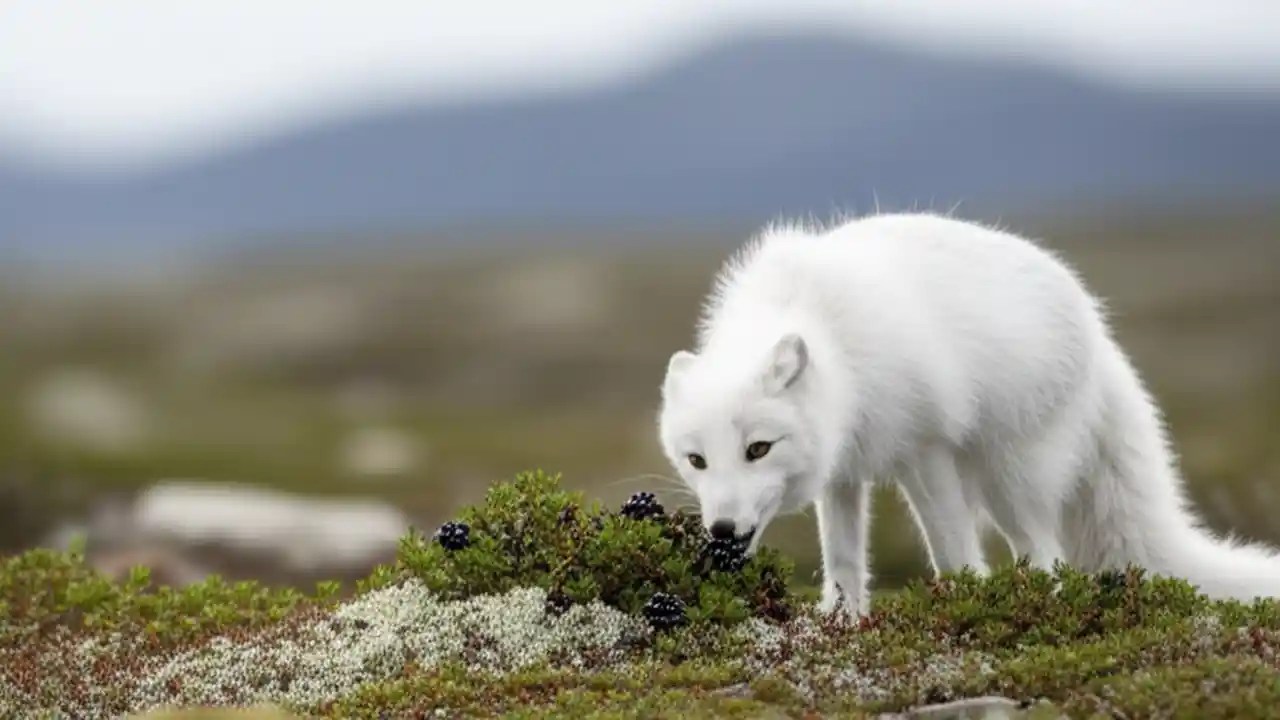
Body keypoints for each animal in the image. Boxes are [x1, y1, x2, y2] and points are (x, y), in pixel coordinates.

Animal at [658, 212, 1280, 615]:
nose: (721, 530)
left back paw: (1039, 608)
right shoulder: (843, 469)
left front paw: (963, 609)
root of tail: (1100, 332)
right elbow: (844, 557)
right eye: (697, 460)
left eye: (758, 449)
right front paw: (842, 621)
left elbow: (952, 550)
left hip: (1009, 480)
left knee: (1046, 556)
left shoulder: (924, 449)